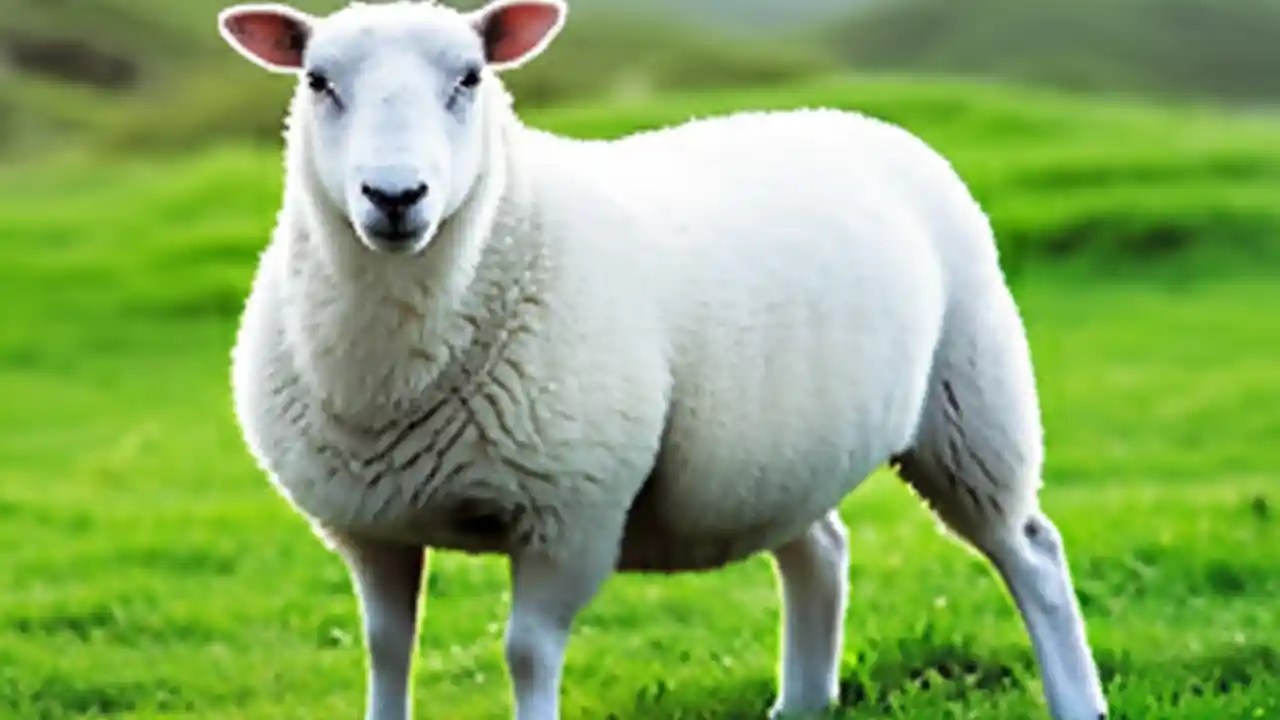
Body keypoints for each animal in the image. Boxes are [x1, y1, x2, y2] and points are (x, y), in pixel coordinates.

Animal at [217, 2, 1109, 719]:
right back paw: (801, 703)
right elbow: (385, 649)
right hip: (780, 451)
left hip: (973, 397)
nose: (395, 196)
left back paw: (1077, 699)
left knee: (1031, 550)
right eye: (318, 82)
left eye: (469, 78)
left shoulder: (571, 512)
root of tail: (865, 120)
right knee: (820, 550)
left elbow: (526, 653)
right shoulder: (368, 525)